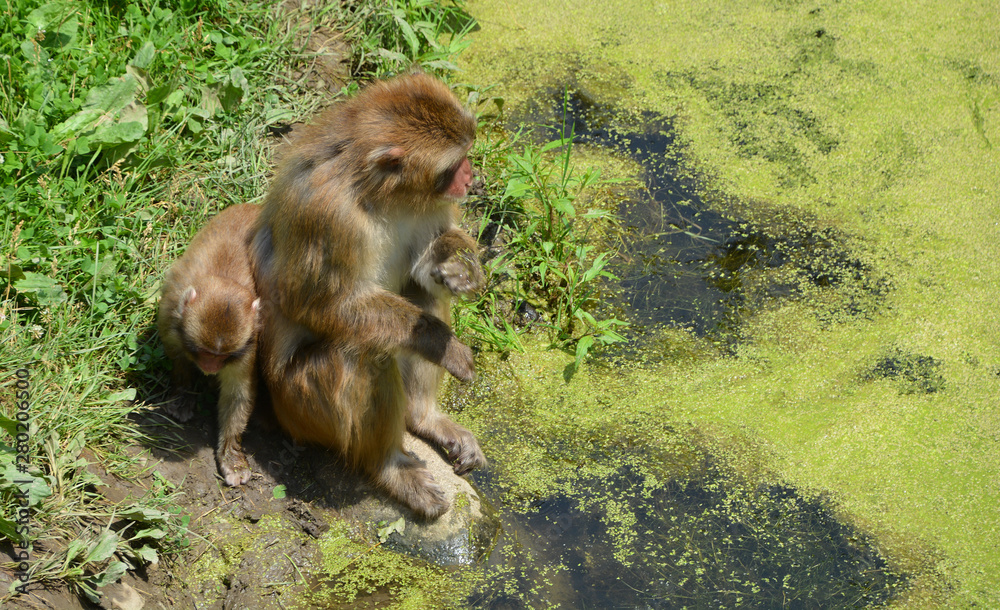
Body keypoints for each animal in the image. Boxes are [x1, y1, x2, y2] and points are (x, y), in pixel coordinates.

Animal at [158, 203, 260, 487]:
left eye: (222, 356)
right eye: (204, 353)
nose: (210, 368)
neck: (222, 277)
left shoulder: (247, 348)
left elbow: (237, 395)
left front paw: (231, 455)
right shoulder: (171, 318)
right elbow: (179, 358)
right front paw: (183, 394)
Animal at [251, 71, 487, 518]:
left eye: (466, 155)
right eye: (452, 167)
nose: (470, 177)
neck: (381, 194)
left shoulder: (430, 204)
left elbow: (424, 270)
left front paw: (456, 262)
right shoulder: (330, 216)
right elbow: (319, 305)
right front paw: (443, 344)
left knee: (420, 301)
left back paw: (423, 417)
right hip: (302, 406)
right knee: (363, 353)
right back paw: (388, 466)